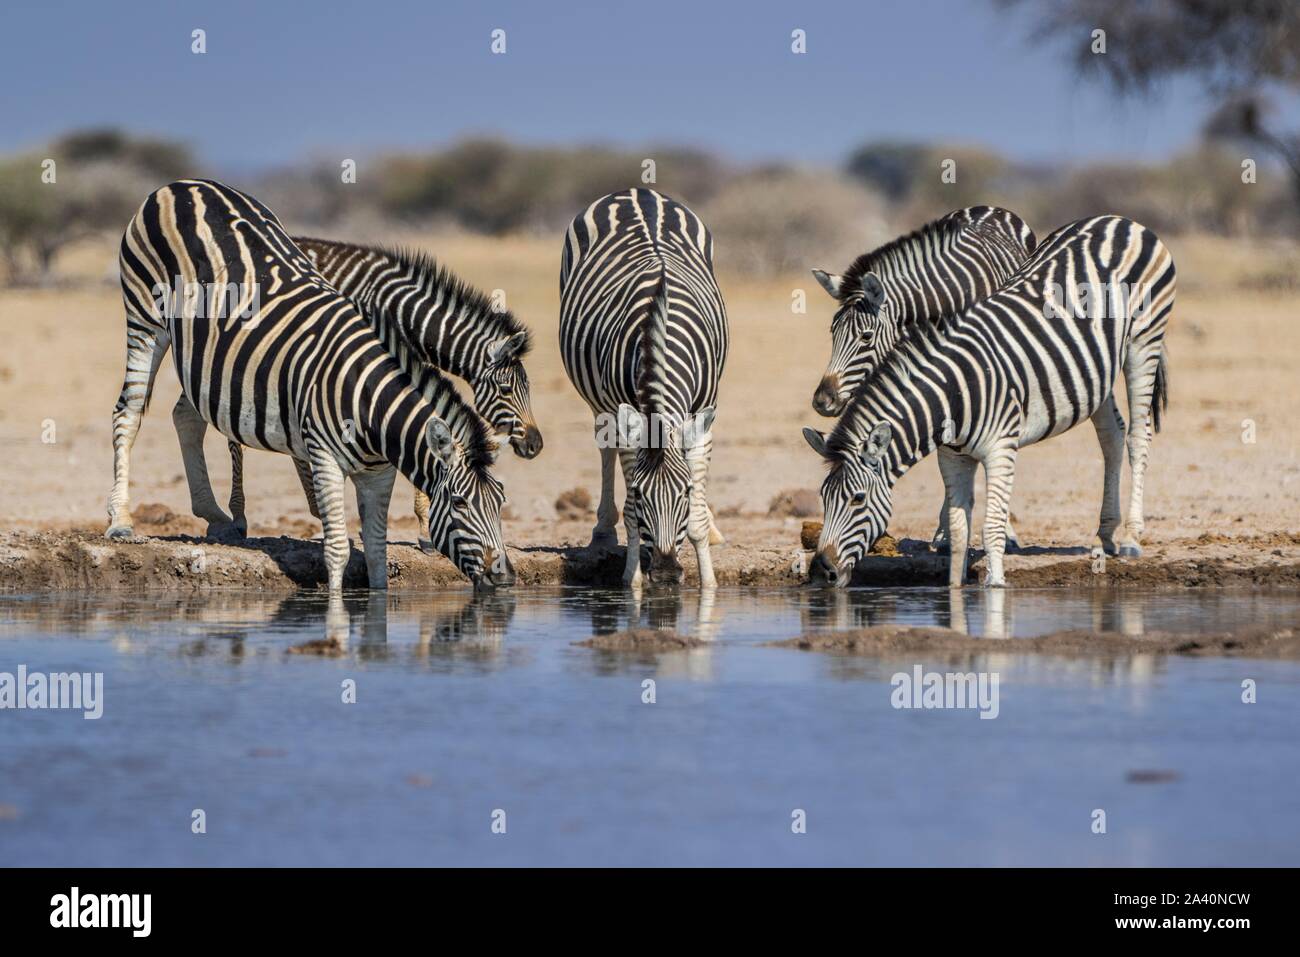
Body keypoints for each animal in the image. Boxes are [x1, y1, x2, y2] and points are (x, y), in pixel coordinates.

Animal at [207, 236, 541, 553]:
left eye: (528, 389)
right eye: (506, 390)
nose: (535, 445)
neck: (401, 310)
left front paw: (424, 530)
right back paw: (239, 517)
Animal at [560, 189, 728, 587]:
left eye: (684, 492)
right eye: (639, 493)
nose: (666, 574)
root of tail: (638, 191)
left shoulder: (704, 416)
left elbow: (696, 518)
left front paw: (709, 584)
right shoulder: (625, 418)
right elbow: (632, 512)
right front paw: (631, 581)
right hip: (601, 402)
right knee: (603, 447)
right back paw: (603, 534)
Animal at [804, 214, 1175, 589]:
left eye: (857, 500)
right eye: (823, 497)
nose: (821, 571)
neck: (954, 392)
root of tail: (1117, 220)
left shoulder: (999, 450)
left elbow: (991, 527)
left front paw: (995, 581)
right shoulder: (952, 457)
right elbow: (960, 530)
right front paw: (953, 575)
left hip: (1144, 338)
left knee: (1137, 436)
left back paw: (1131, 537)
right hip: (1096, 365)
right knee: (1112, 435)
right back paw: (1106, 533)